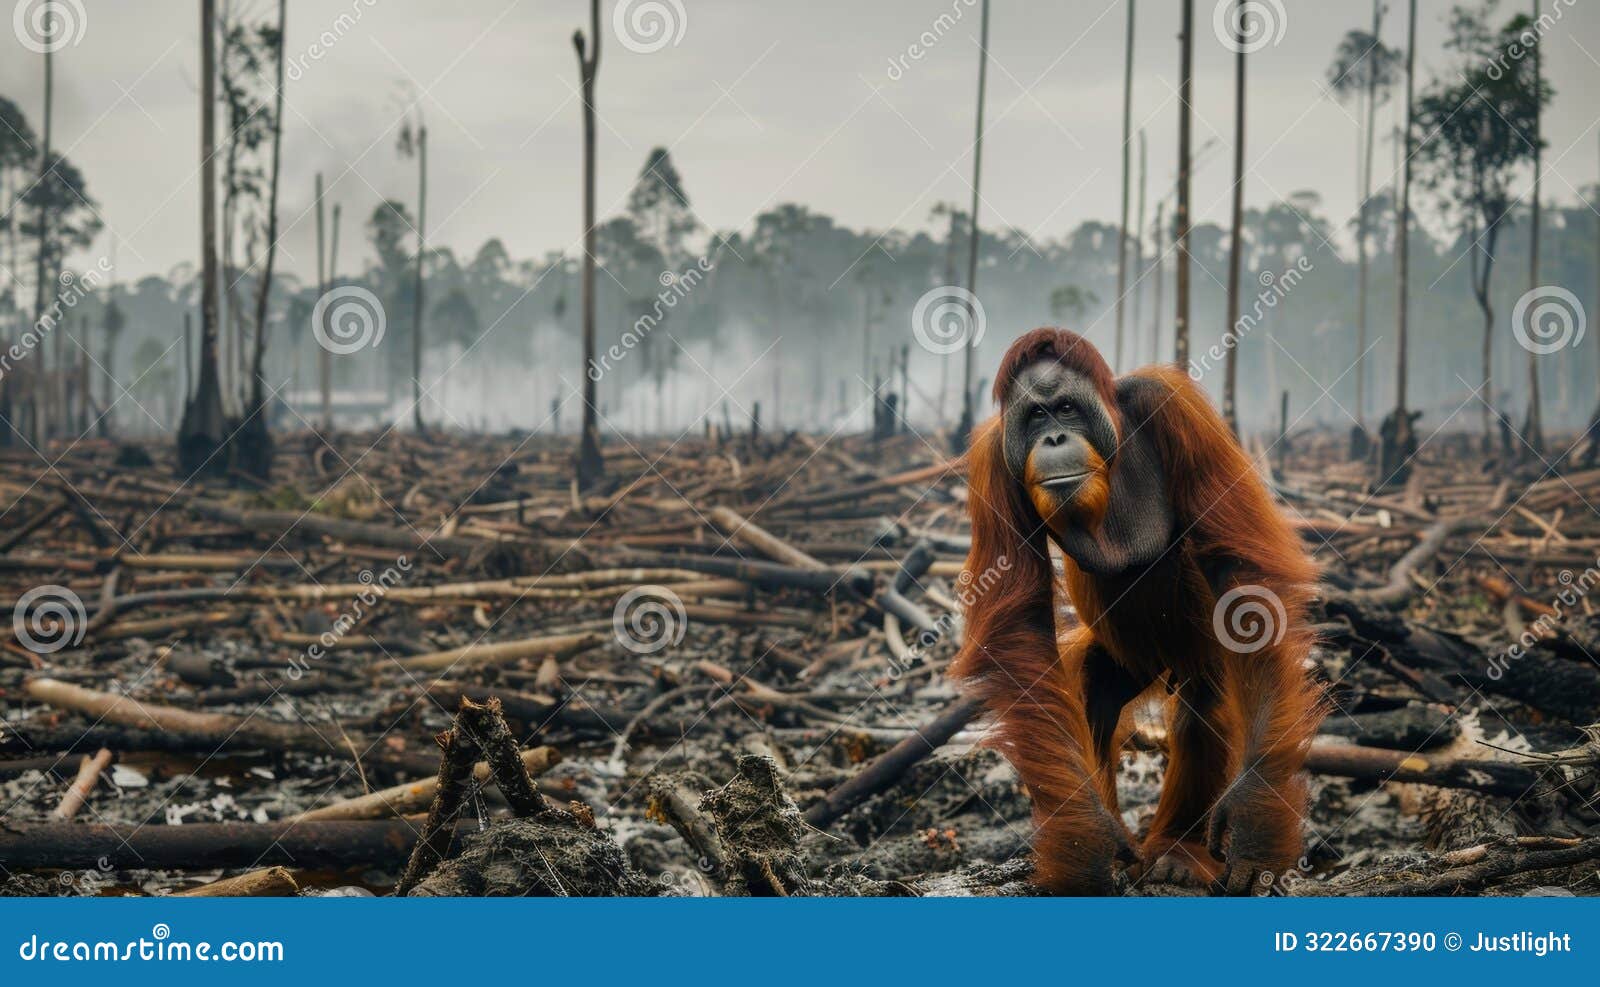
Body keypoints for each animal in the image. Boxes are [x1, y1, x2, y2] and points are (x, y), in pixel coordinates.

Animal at [949, 327, 1322, 896]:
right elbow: (1019, 625)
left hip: (1197, 651)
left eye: (1066, 408)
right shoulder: (994, 460)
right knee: (1095, 695)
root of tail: (1161, 667)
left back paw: (1177, 852)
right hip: (1126, 658)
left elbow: (1242, 573)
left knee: (1204, 703)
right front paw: (1085, 846)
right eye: (1036, 416)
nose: (1054, 439)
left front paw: (1254, 817)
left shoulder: (1171, 404)